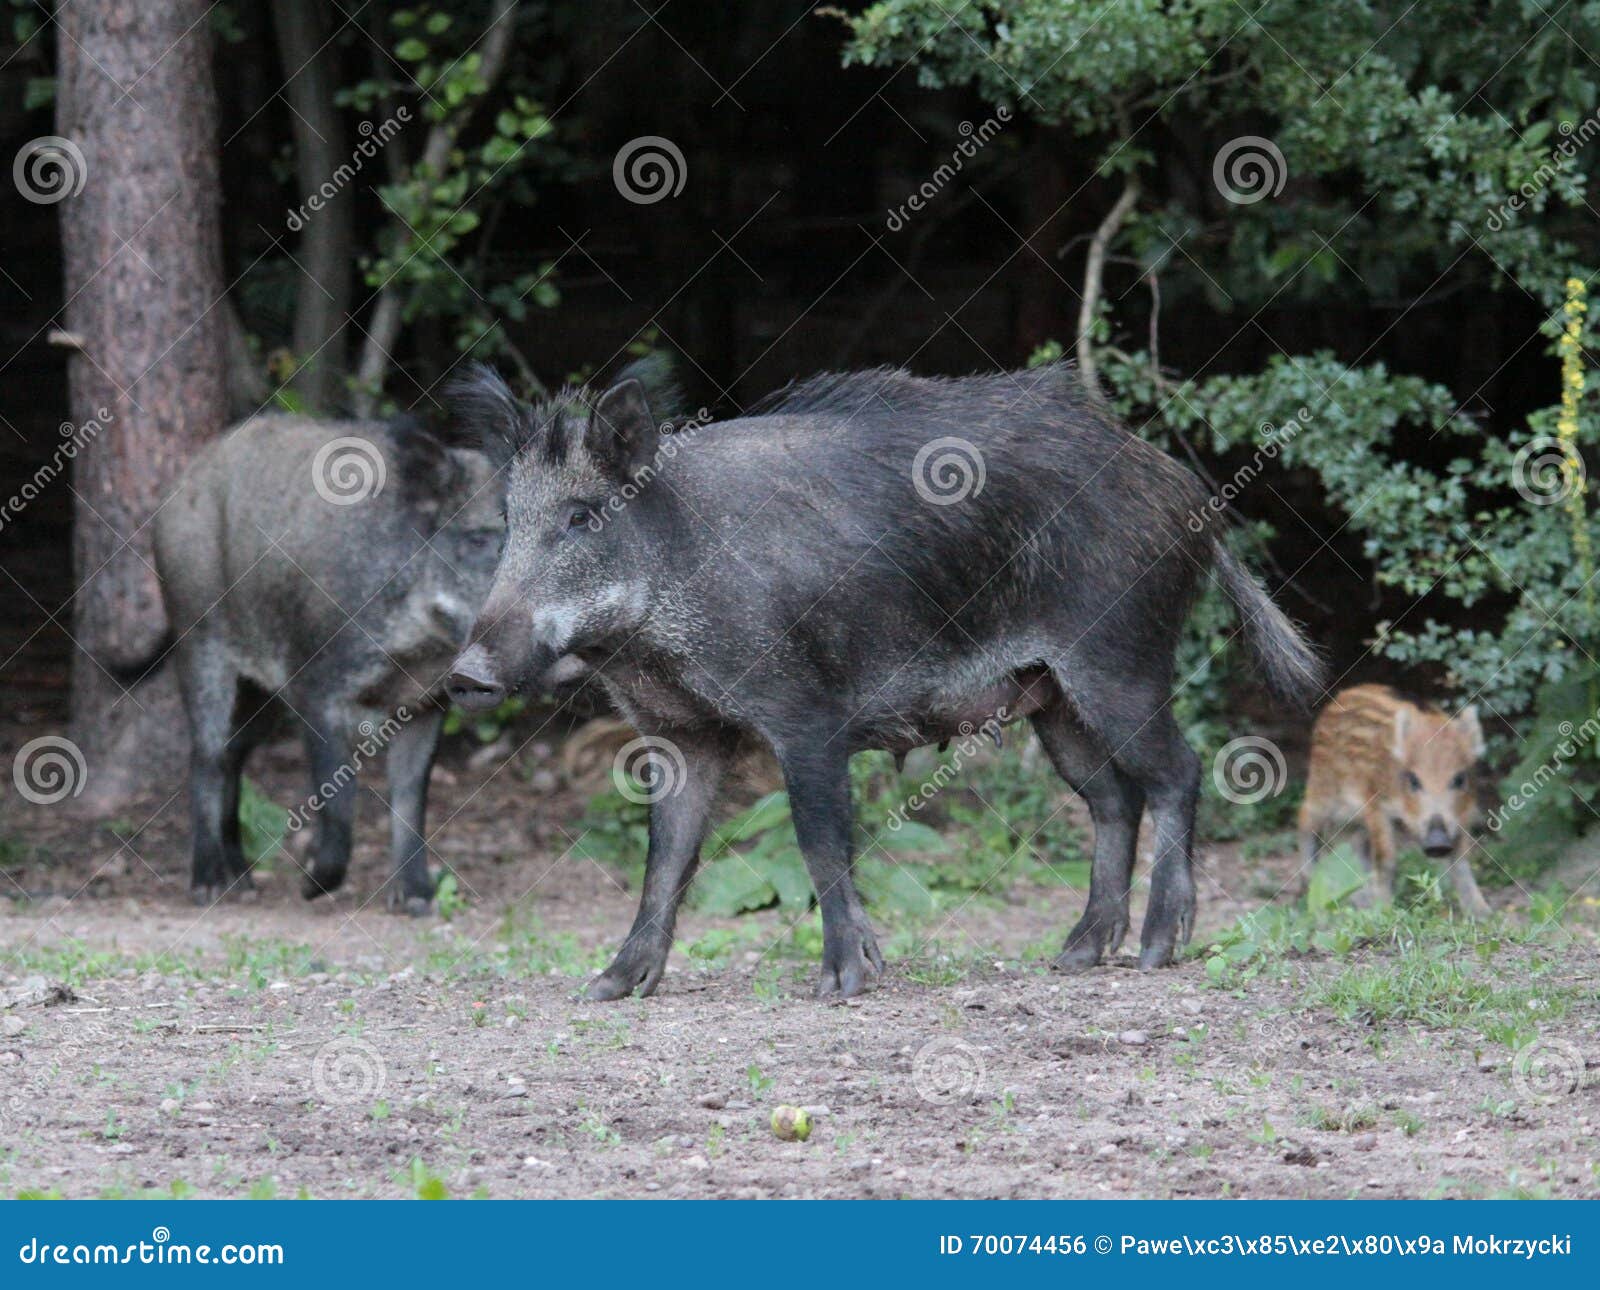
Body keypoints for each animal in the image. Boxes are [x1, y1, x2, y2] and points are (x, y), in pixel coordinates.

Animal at [154, 412, 506, 912]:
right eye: (478, 538)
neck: (416, 649)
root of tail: (183, 483)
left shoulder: (426, 703)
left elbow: (410, 798)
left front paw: (417, 902)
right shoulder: (316, 687)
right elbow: (338, 799)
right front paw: (311, 887)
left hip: (262, 692)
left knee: (233, 754)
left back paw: (243, 882)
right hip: (197, 638)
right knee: (205, 755)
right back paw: (208, 888)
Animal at [445, 364, 1324, 999]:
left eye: (582, 517)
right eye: (511, 522)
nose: (464, 673)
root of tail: (1188, 494)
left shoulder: (807, 715)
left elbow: (820, 841)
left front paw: (841, 984)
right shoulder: (683, 731)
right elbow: (667, 859)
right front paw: (609, 987)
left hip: (1119, 659)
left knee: (1179, 771)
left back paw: (1155, 952)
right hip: (1051, 695)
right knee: (1114, 799)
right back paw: (1074, 956)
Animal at [1298, 683, 1489, 914]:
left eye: (1460, 779)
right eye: (1414, 780)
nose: (1437, 843)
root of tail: (1340, 697)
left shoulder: (1461, 814)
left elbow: (1461, 859)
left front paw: (1482, 912)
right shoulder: (1376, 805)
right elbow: (1385, 857)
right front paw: (1385, 910)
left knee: (1349, 841)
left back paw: (1361, 899)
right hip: (1323, 786)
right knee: (1305, 816)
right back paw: (1309, 880)